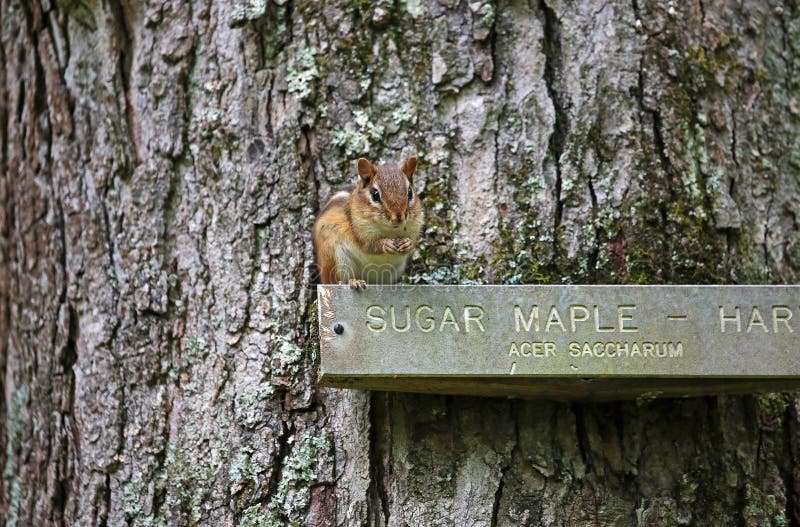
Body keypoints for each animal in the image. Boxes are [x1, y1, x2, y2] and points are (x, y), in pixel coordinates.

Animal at [313, 156, 423, 289]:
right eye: (375, 194)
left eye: (410, 192)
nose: (398, 217)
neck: (390, 230)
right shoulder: (359, 230)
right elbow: (369, 245)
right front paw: (385, 244)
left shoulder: (414, 227)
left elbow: (413, 241)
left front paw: (407, 243)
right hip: (334, 257)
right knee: (334, 280)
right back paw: (353, 282)